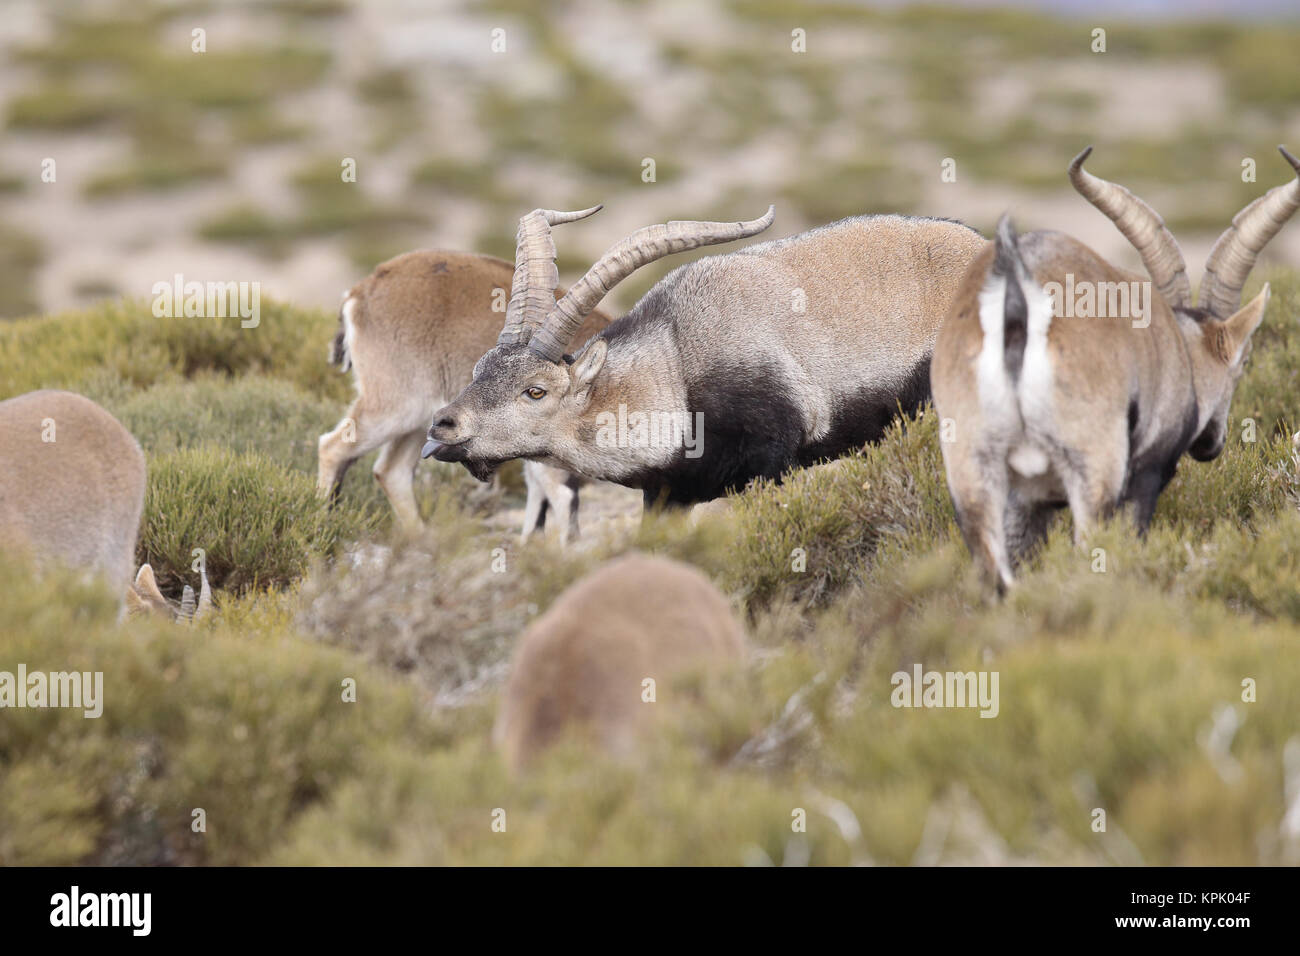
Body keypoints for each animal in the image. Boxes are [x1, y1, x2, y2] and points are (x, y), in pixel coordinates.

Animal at [317, 248, 609, 541]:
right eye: (537, 390)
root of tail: (361, 292)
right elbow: (562, 498)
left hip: (423, 420)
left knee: (391, 471)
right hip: (394, 405)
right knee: (333, 448)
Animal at [424, 205, 985, 508]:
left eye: (535, 390)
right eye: (479, 369)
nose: (443, 427)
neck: (677, 367)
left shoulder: (771, 460)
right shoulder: (669, 494)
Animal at [931, 146, 1299, 591]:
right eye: (1242, 363)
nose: (1211, 444)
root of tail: (1015, 299)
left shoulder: (1030, 501)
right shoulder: (1143, 478)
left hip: (973, 472)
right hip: (1093, 473)